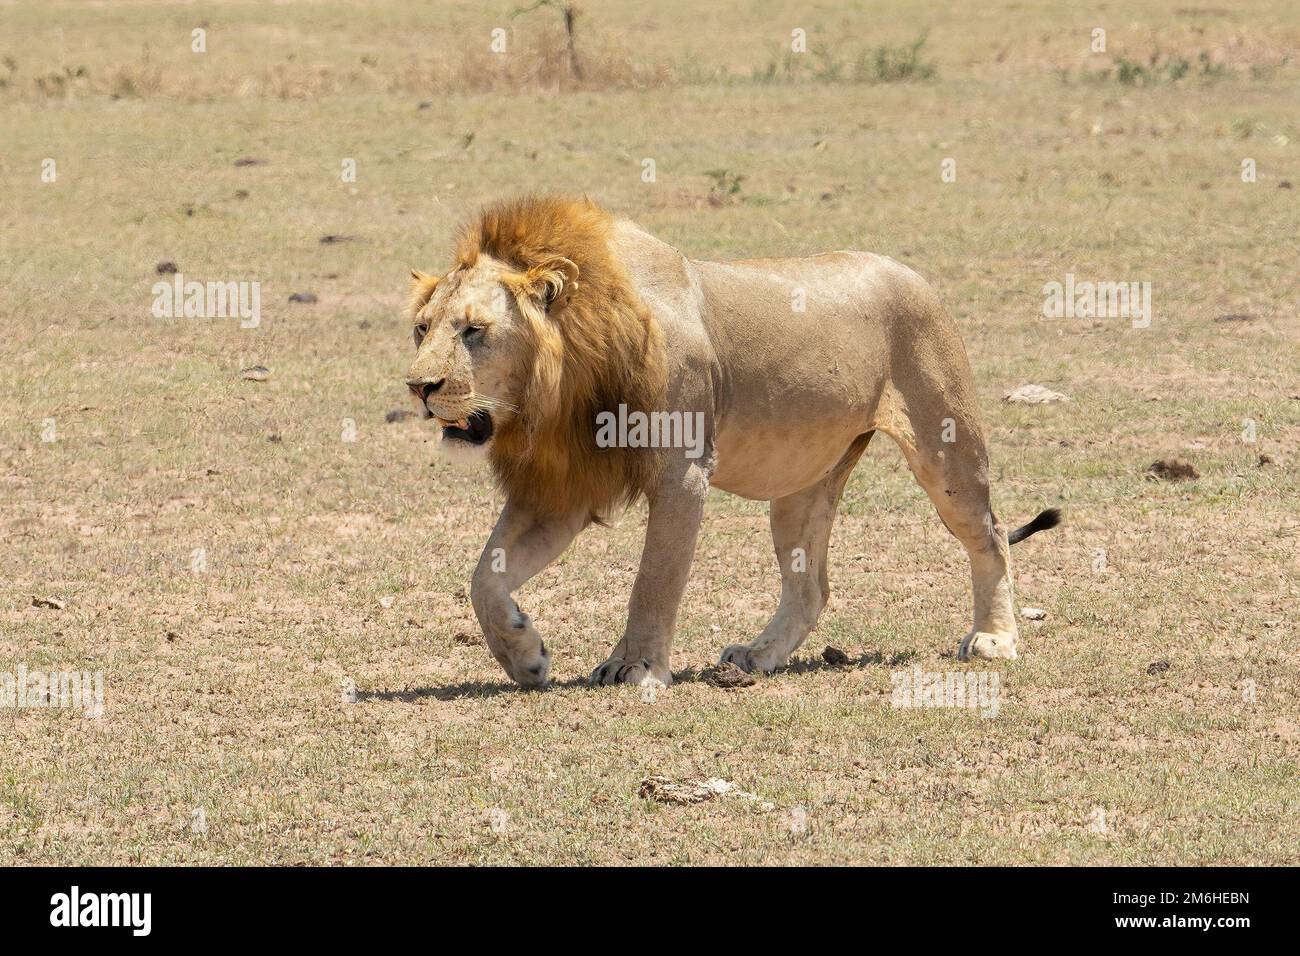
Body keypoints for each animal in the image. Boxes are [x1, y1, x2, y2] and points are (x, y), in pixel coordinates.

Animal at [404, 195, 1060, 688]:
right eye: (421, 328)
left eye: (475, 331)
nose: (418, 387)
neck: (561, 383)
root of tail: (913, 273)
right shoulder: (562, 487)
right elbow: (485, 578)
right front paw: (524, 655)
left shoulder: (681, 472)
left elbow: (654, 579)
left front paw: (634, 666)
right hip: (803, 481)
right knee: (810, 587)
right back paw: (758, 656)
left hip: (945, 445)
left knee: (991, 535)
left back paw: (994, 637)